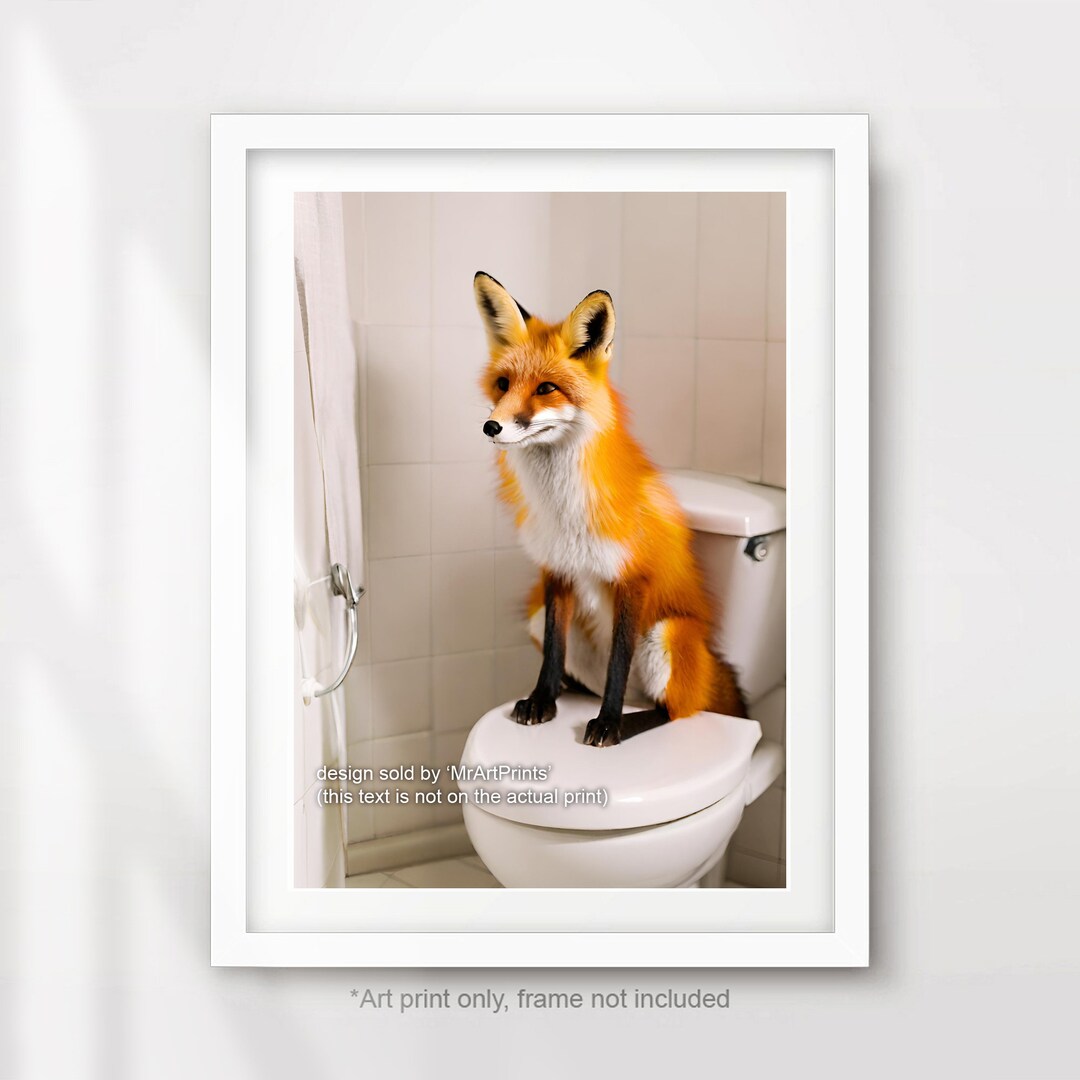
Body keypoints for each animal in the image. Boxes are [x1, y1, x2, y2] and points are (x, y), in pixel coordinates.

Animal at [474, 270, 747, 747]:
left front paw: (608, 723)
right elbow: (553, 651)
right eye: (503, 384)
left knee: (676, 710)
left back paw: (631, 721)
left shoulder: (632, 579)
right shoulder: (556, 570)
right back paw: (570, 694)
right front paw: (542, 699)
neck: (565, 512)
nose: (492, 426)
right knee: (585, 680)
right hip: (537, 612)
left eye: (546, 388)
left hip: (667, 635)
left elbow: (619, 662)